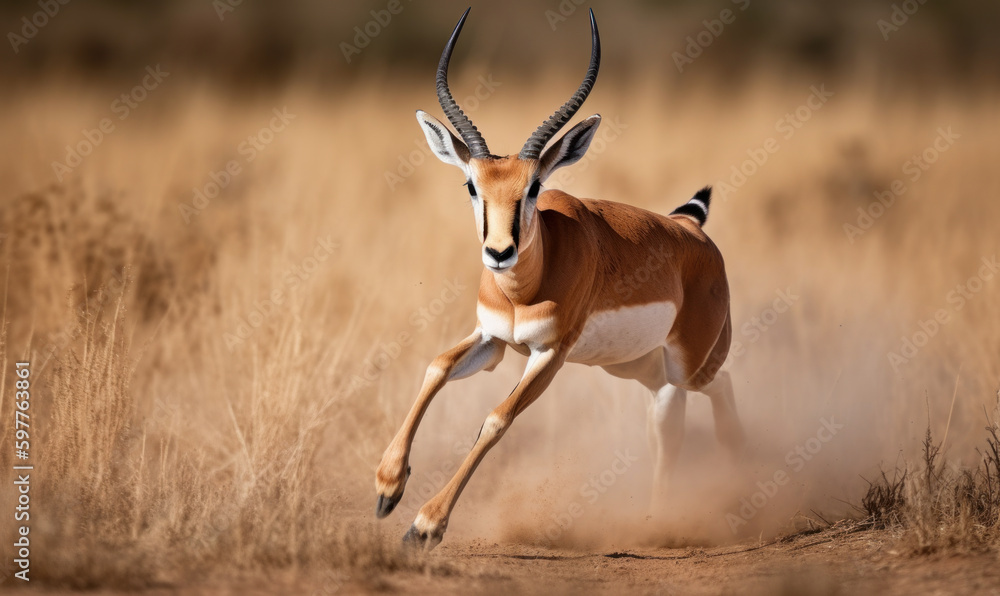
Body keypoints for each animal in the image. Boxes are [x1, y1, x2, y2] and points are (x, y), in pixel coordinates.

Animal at [375, 8, 746, 549]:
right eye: (471, 185)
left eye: (533, 187)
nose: (499, 252)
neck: (521, 292)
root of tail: (689, 227)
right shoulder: (492, 339)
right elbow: (437, 366)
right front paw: (387, 488)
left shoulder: (549, 353)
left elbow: (496, 418)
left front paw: (424, 525)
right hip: (634, 365)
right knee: (666, 417)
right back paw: (657, 519)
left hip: (689, 363)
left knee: (717, 388)